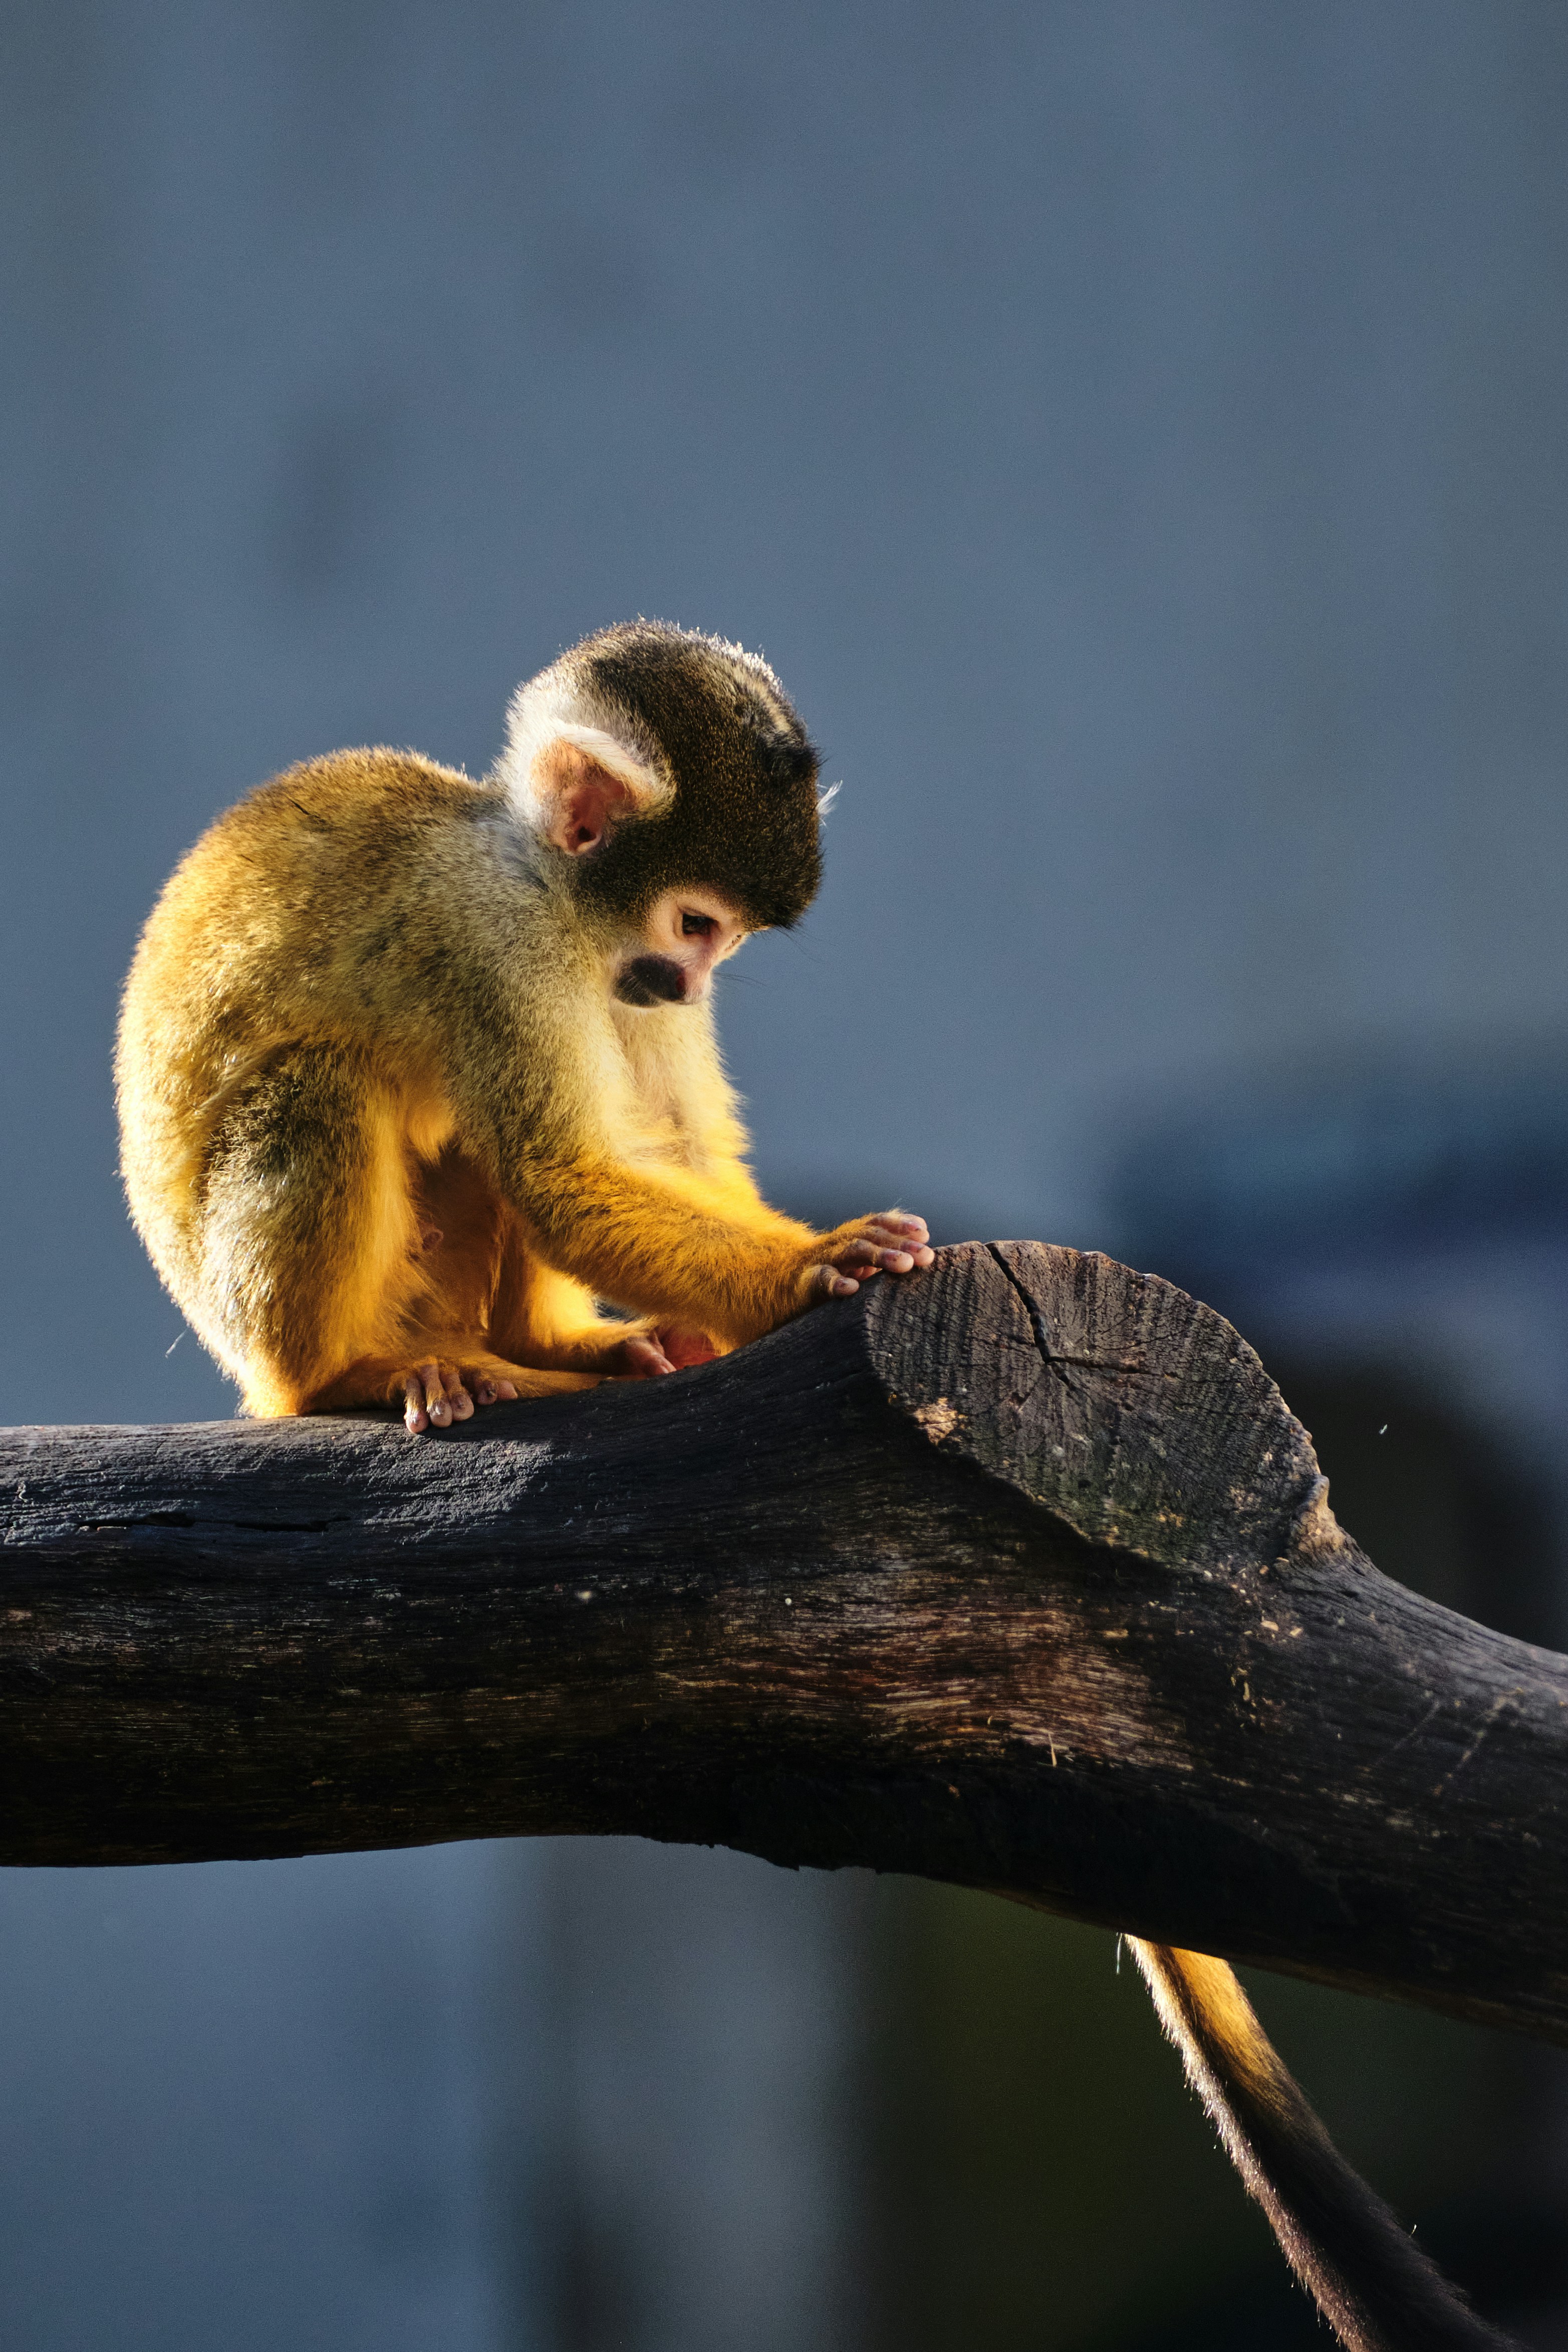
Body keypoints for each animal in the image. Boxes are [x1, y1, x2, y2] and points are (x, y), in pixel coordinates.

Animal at [115, 622, 1513, 2350]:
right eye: (698, 923)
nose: (686, 977)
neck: (537, 872)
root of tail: (234, 1349)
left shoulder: (590, 959)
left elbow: (654, 1141)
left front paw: (773, 1273)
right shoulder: (508, 941)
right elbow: (565, 1165)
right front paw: (821, 1267)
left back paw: (552, 1348)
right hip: (256, 1305)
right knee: (332, 1088)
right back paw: (366, 1380)